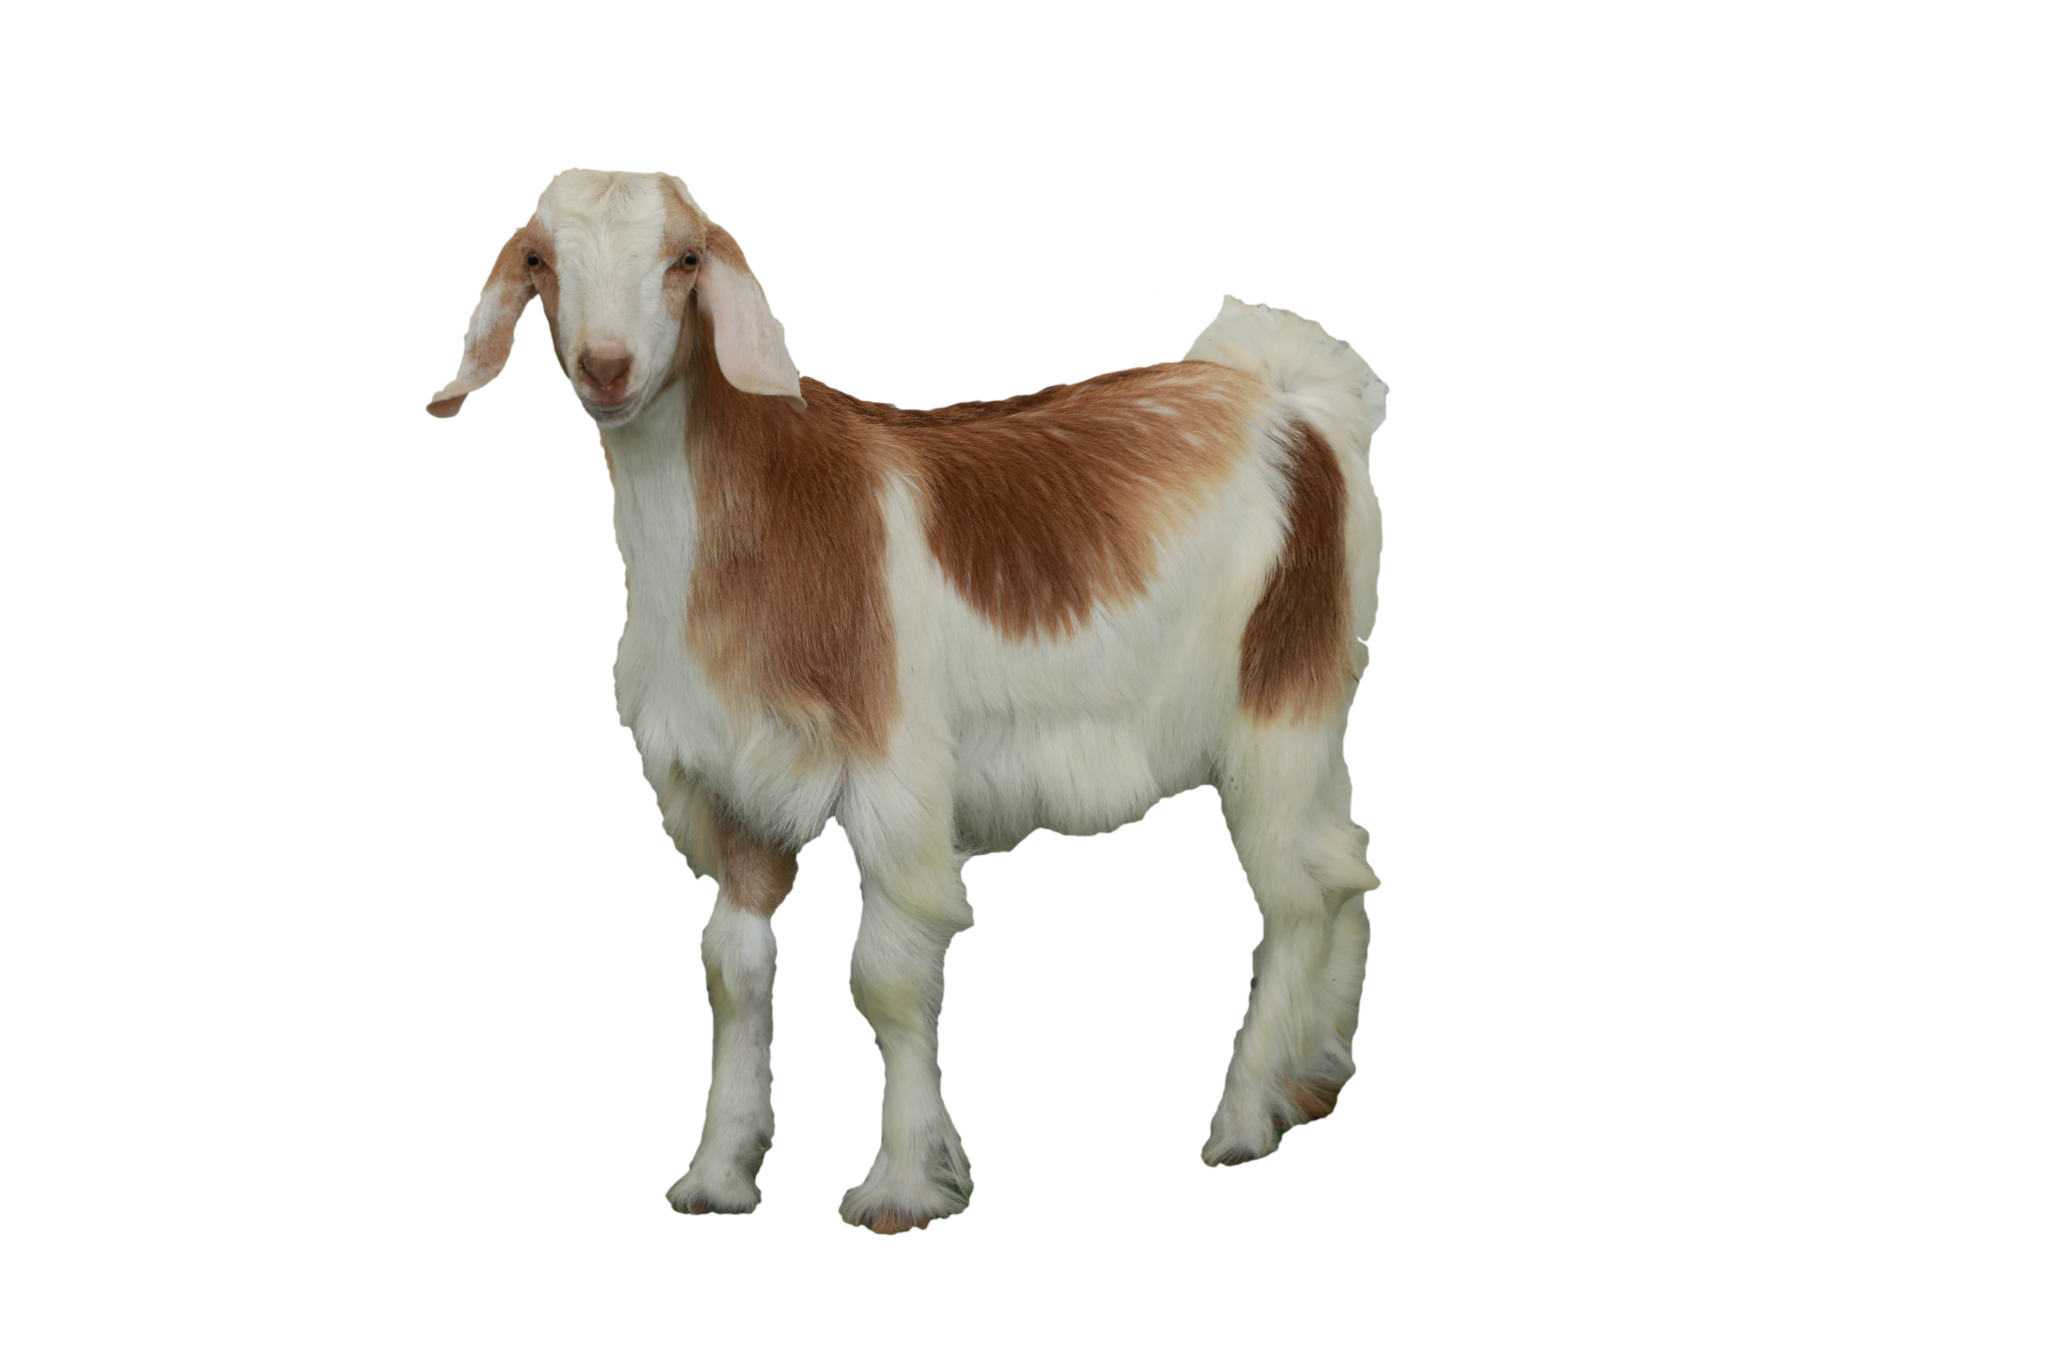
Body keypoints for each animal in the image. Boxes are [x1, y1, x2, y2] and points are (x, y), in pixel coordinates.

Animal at [425, 167, 1392, 1236]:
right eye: (541, 258)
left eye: (684, 258)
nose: (606, 367)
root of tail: (1297, 404)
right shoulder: (731, 785)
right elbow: (734, 969)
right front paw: (718, 1177)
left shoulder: (895, 773)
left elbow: (886, 979)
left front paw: (900, 1188)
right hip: (1322, 707)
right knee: (1344, 864)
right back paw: (1317, 1076)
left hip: (1277, 698)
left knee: (1293, 896)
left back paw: (1246, 1120)